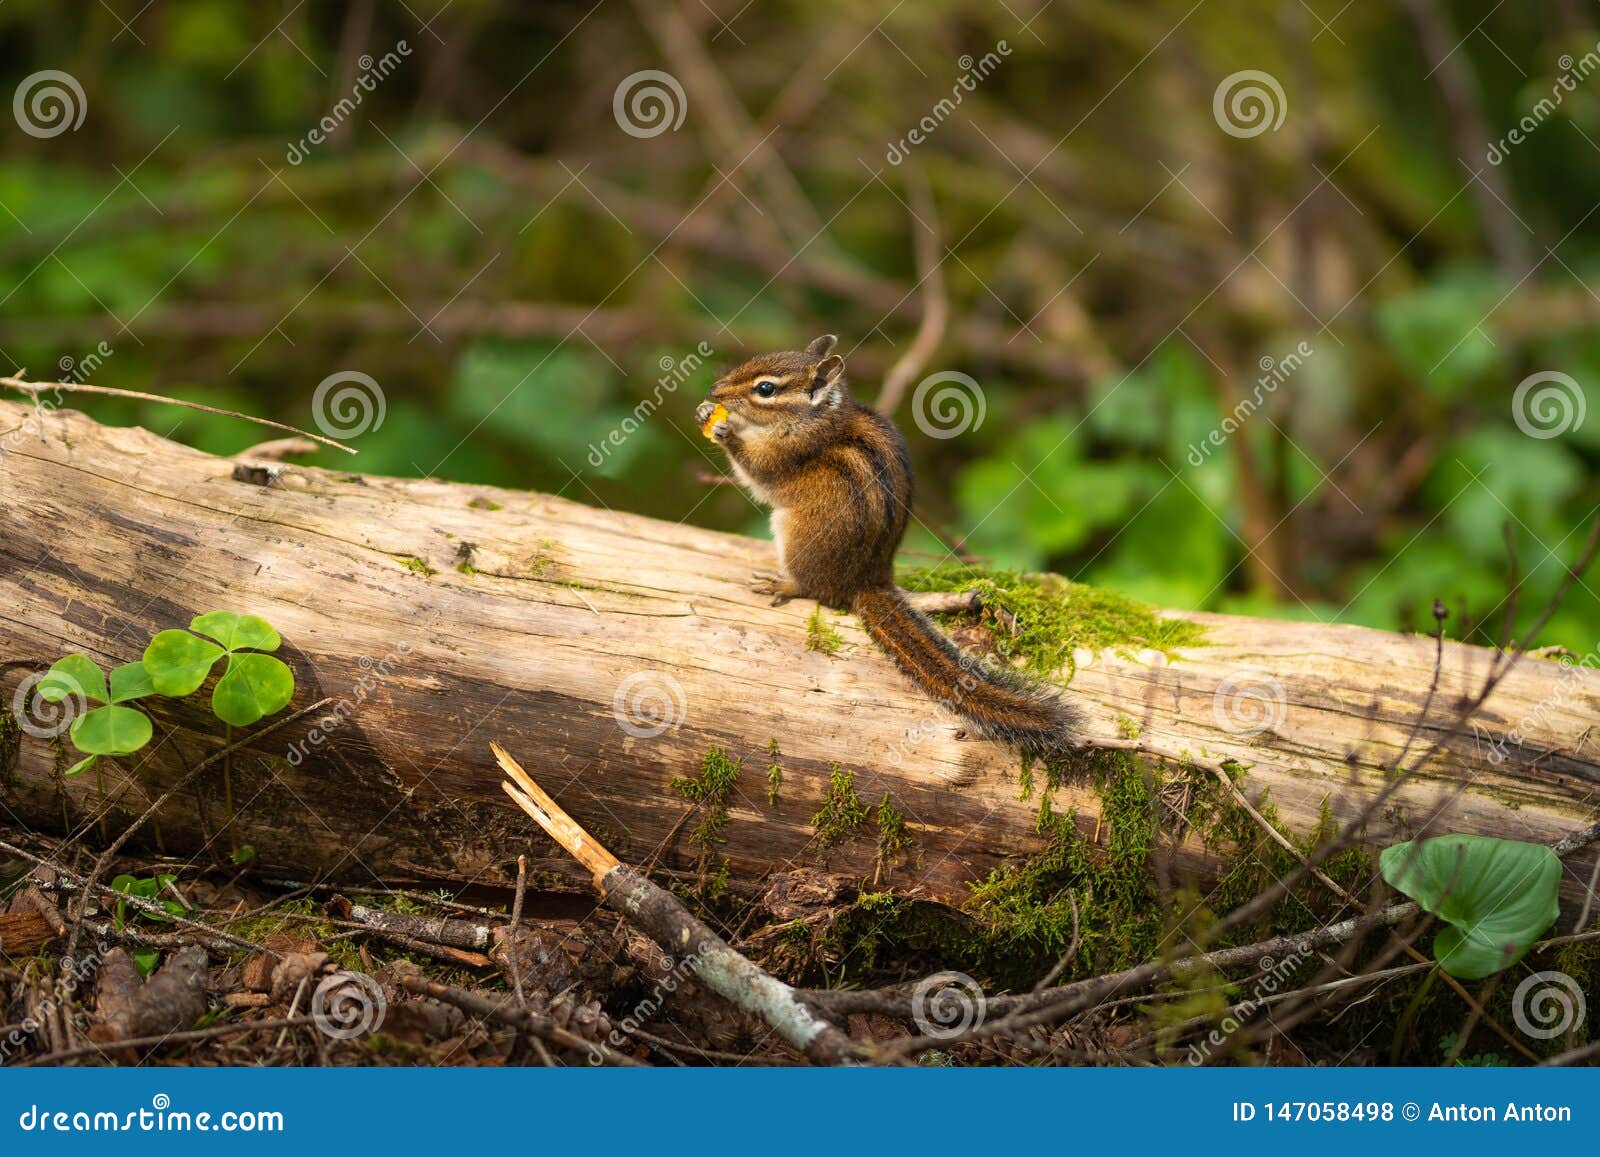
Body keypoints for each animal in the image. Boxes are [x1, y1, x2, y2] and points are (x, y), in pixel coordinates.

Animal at [695, 334, 1079, 752]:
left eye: (765, 389)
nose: (714, 390)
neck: (817, 421)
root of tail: (868, 579)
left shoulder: (786, 456)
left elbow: (755, 472)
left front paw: (726, 432)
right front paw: (706, 411)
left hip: (792, 533)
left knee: (812, 588)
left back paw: (783, 583)